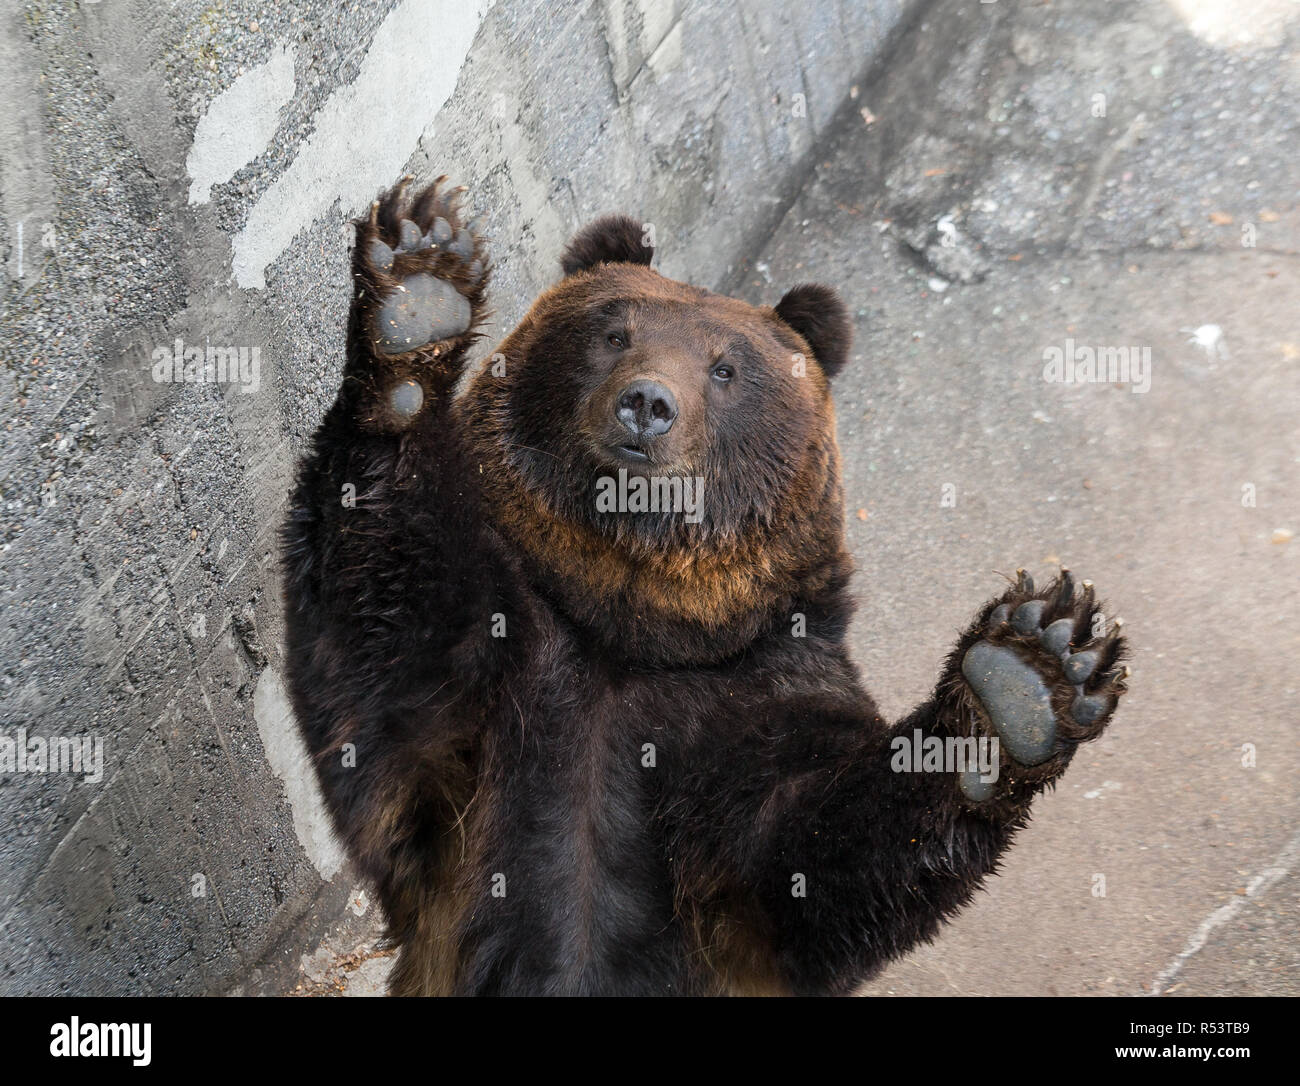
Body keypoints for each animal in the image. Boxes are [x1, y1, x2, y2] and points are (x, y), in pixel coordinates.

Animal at [281, 175, 1129, 996]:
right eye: (613, 333)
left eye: (725, 368)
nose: (648, 403)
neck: (632, 626)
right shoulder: (487, 701)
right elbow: (387, 640)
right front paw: (419, 290)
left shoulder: (753, 693)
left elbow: (806, 858)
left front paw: (1030, 673)